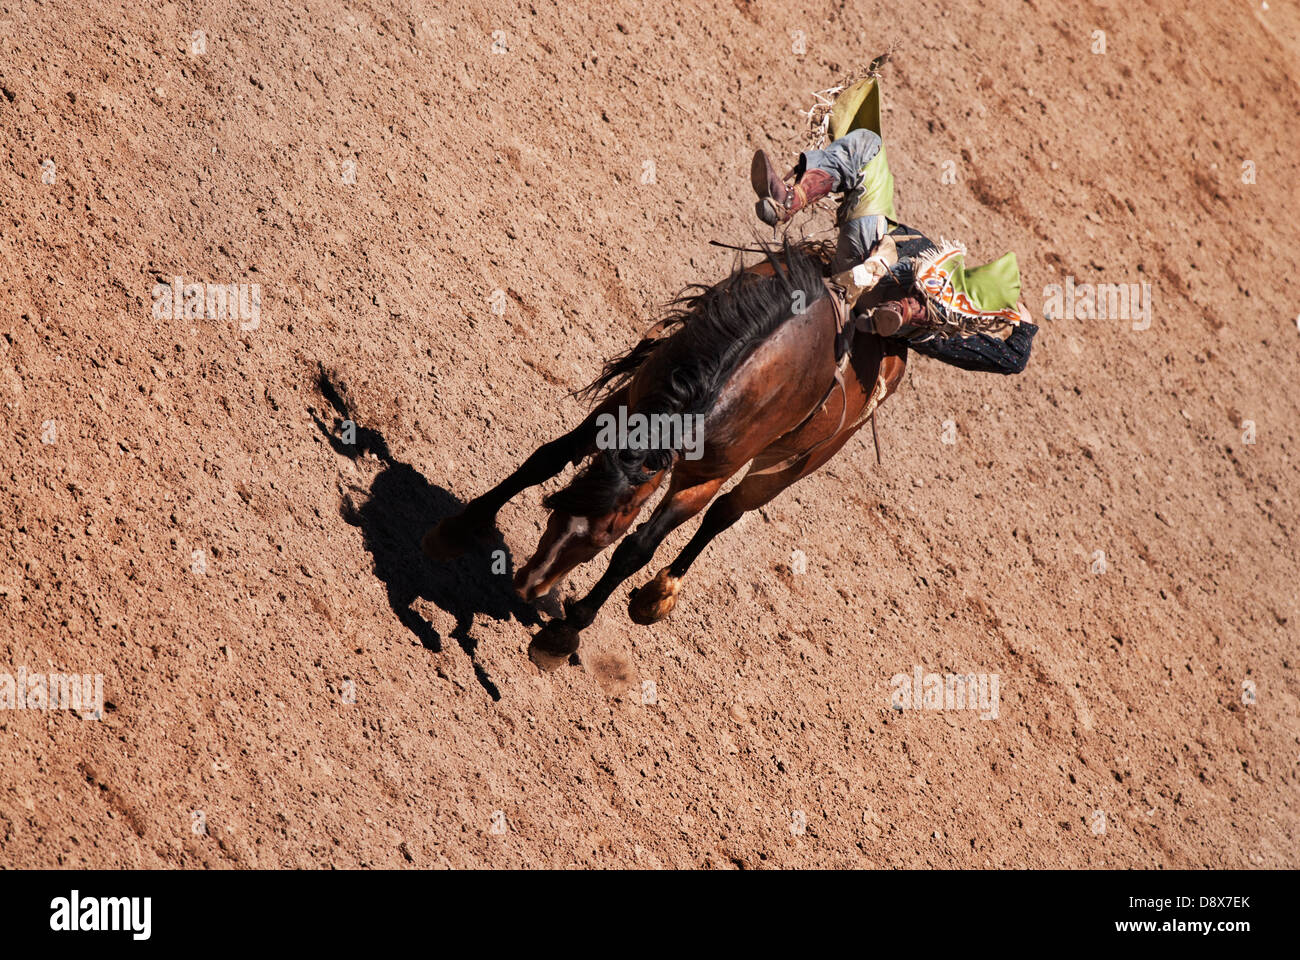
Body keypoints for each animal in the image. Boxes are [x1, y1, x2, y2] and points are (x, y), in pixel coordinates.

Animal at [423, 241, 911, 669]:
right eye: (552, 509)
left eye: (601, 540)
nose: (528, 585)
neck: (748, 372)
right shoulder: (624, 408)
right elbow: (548, 458)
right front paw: (459, 528)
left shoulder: (703, 480)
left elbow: (638, 548)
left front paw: (561, 637)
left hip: (790, 467)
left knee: (726, 513)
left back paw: (658, 595)